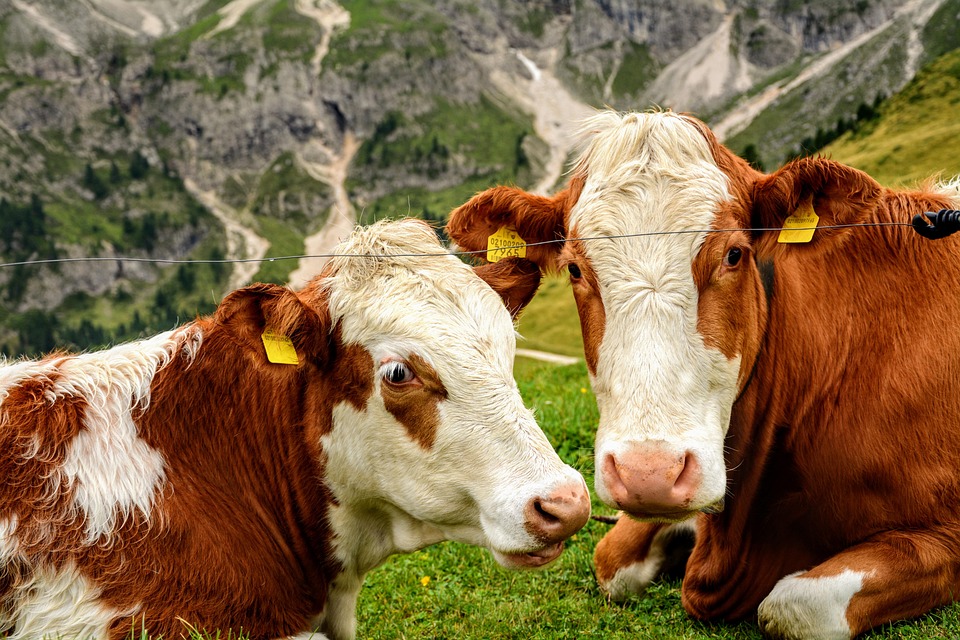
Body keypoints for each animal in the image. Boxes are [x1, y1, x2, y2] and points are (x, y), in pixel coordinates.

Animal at [446, 109, 960, 639]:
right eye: (574, 268)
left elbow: (793, 606)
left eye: (734, 254)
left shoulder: (944, 536)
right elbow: (611, 559)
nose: (648, 474)